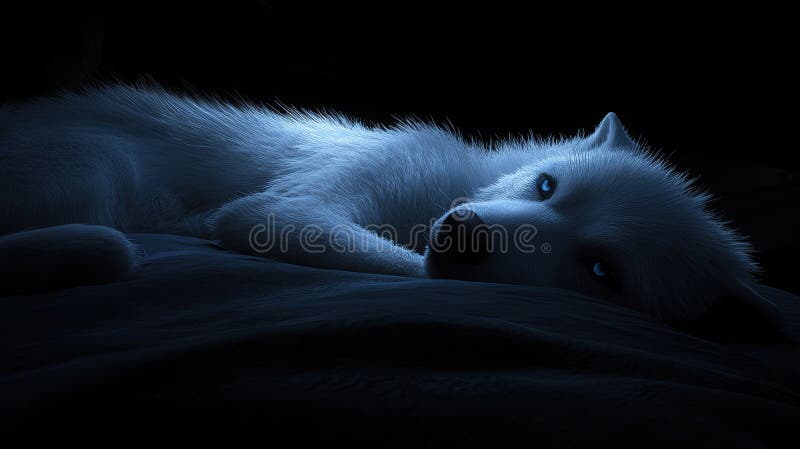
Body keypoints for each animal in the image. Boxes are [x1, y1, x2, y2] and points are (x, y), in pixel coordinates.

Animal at [0, 85, 782, 332]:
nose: (462, 237)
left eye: (600, 272)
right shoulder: (288, 207)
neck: (445, 191)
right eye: (547, 186)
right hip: (94, 170)